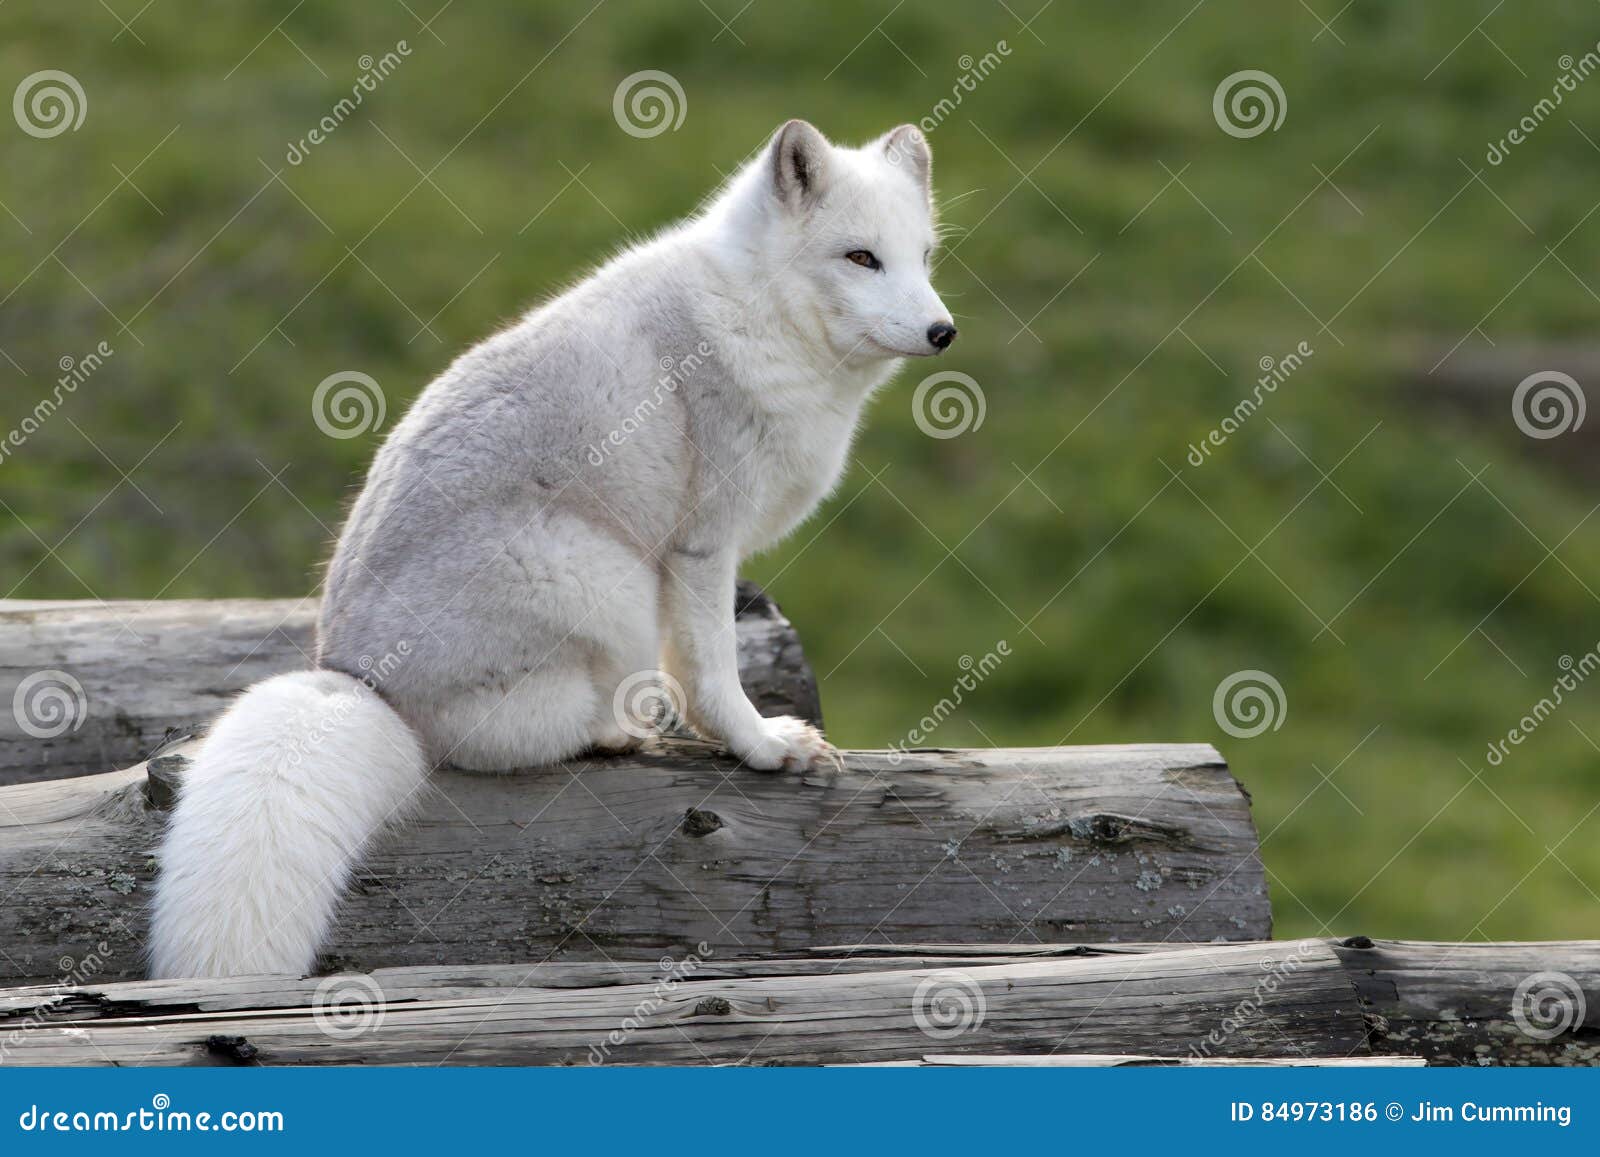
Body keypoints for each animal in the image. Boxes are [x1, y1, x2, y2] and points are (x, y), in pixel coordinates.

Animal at [149, 119, 956, 978]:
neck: (761, 313)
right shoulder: (703, 543)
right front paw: (761, 746)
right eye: (860, 257)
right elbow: (713, 670)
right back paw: (616, 728)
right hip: (605, 578)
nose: (944, 331)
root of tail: (354, 679)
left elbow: (695, 665)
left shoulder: (691, 556)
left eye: (924, 256)